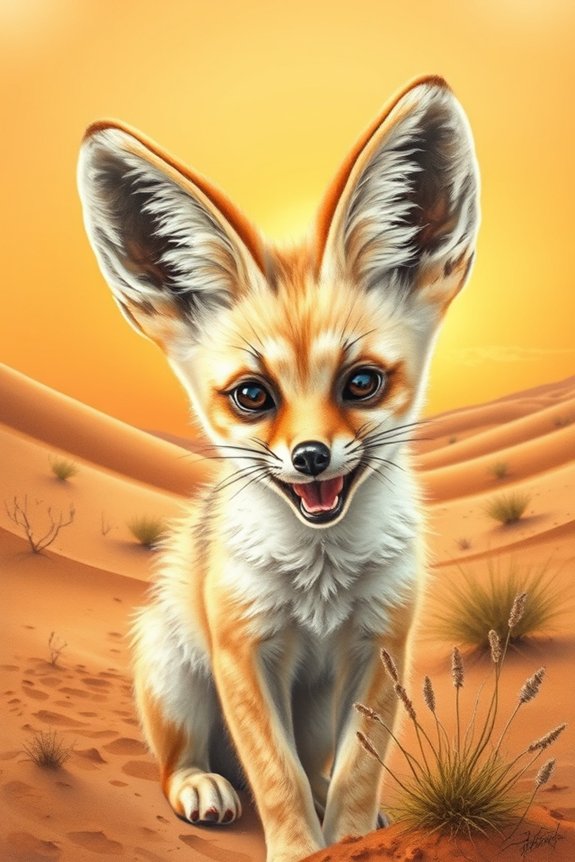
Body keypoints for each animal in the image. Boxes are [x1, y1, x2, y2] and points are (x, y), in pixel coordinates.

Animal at [77, 76, 479, 862]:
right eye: (251, 396)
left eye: (361, 383)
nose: (310, 457)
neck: (320, 582)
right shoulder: (245, 650)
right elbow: (276, 778)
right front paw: (299, 849)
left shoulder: (380, 646)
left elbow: (355, 775)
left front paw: (347, 838)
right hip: (175, 672)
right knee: (188, 760)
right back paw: (202, 785)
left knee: (322, 765)